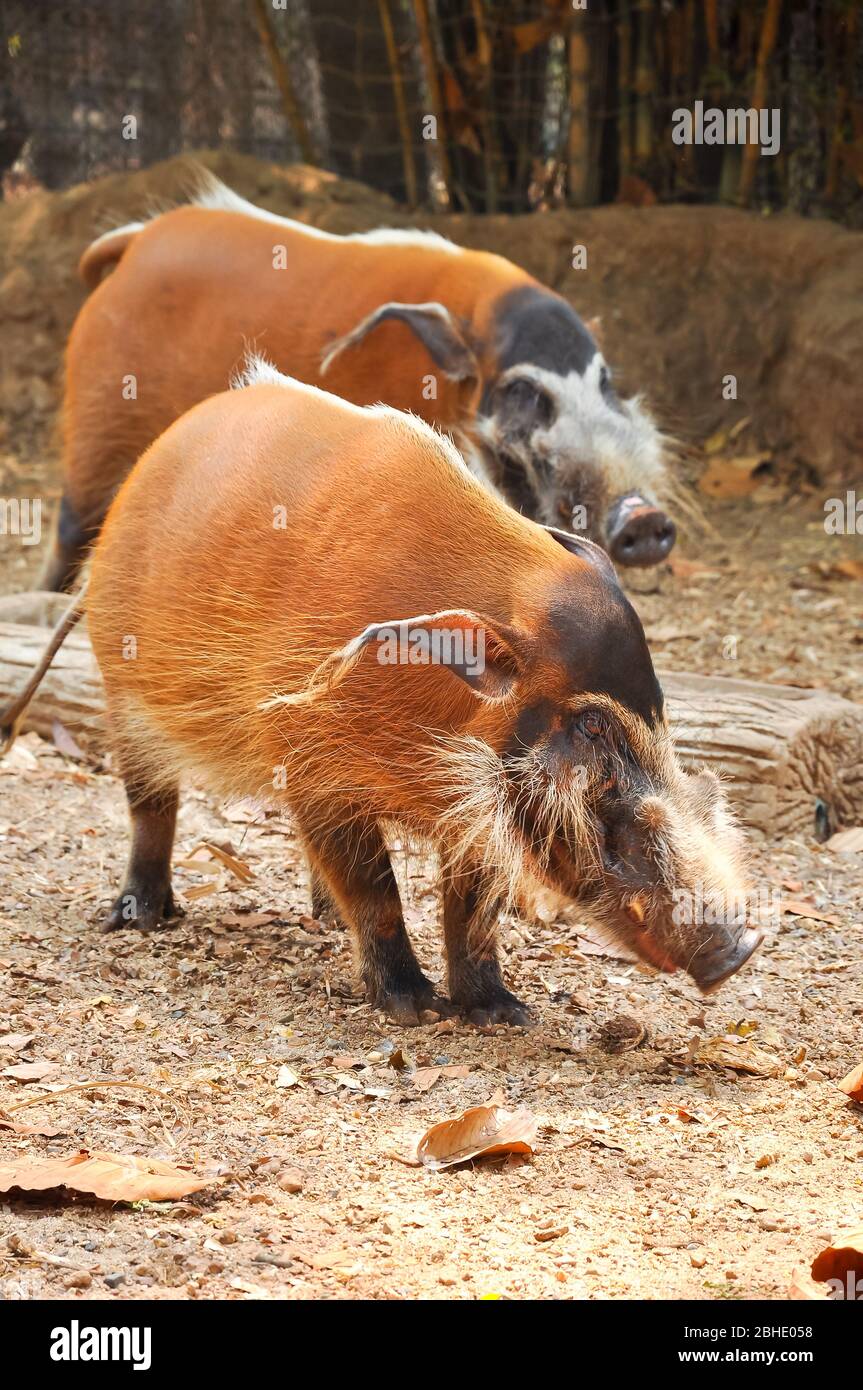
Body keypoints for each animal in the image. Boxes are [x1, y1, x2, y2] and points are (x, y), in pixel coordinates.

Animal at [43, 173, 678, 592]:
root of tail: (139, 241)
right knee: (75, 526)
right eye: (524, 391)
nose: (643, 518)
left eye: (605, 382)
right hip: (97, 413)